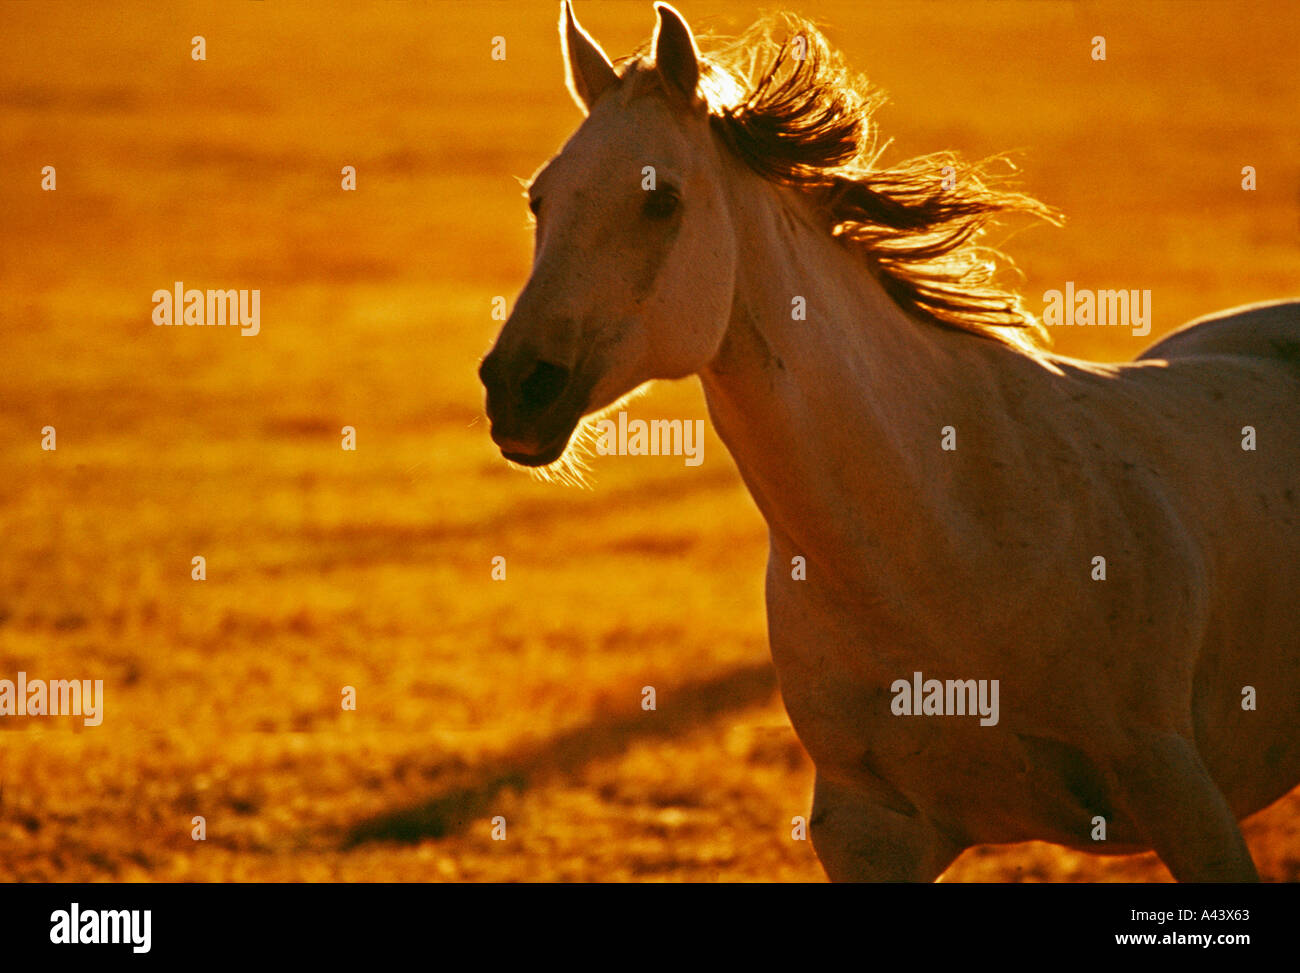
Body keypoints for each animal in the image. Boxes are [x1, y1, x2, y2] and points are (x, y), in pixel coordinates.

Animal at [479, 1, 1300, 881]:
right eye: (540, 199)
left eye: (660, 200)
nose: (515, 386)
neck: (948, 529)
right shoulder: (869, 826)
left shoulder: (1178, 788)